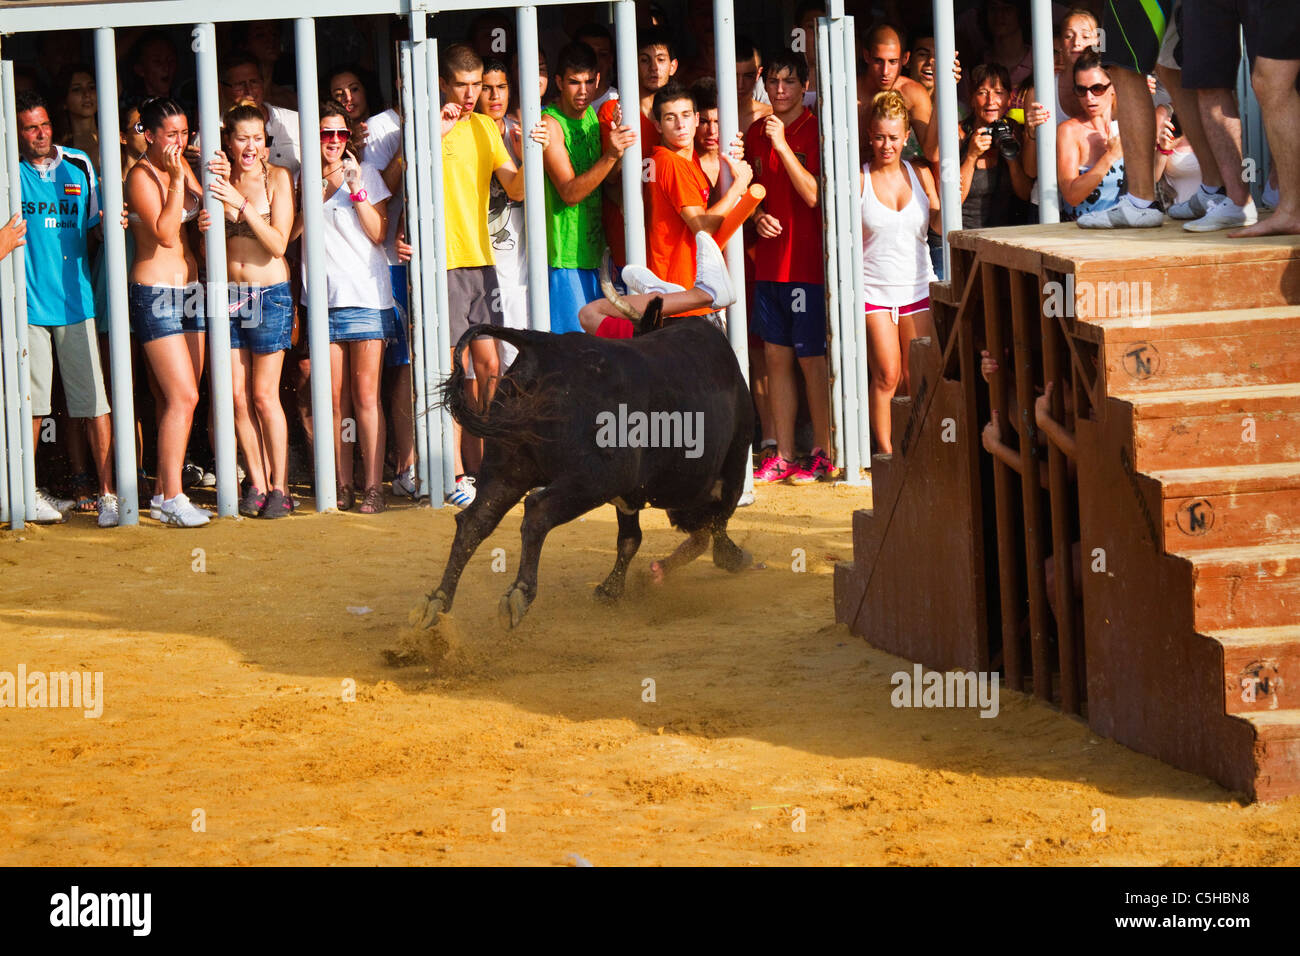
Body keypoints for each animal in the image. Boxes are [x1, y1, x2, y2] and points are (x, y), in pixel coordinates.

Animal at [394, 287, 755, 664]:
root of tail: (543, 345)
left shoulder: (629, 493)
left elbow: (631, 538)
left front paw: (611, 590)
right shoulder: (732, 462)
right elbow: (712, 526)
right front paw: (732, 557)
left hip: (507, 471)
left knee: (475, 523)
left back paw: (435, 603)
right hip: (591, 479)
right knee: (536, 511)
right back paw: (518, 595)